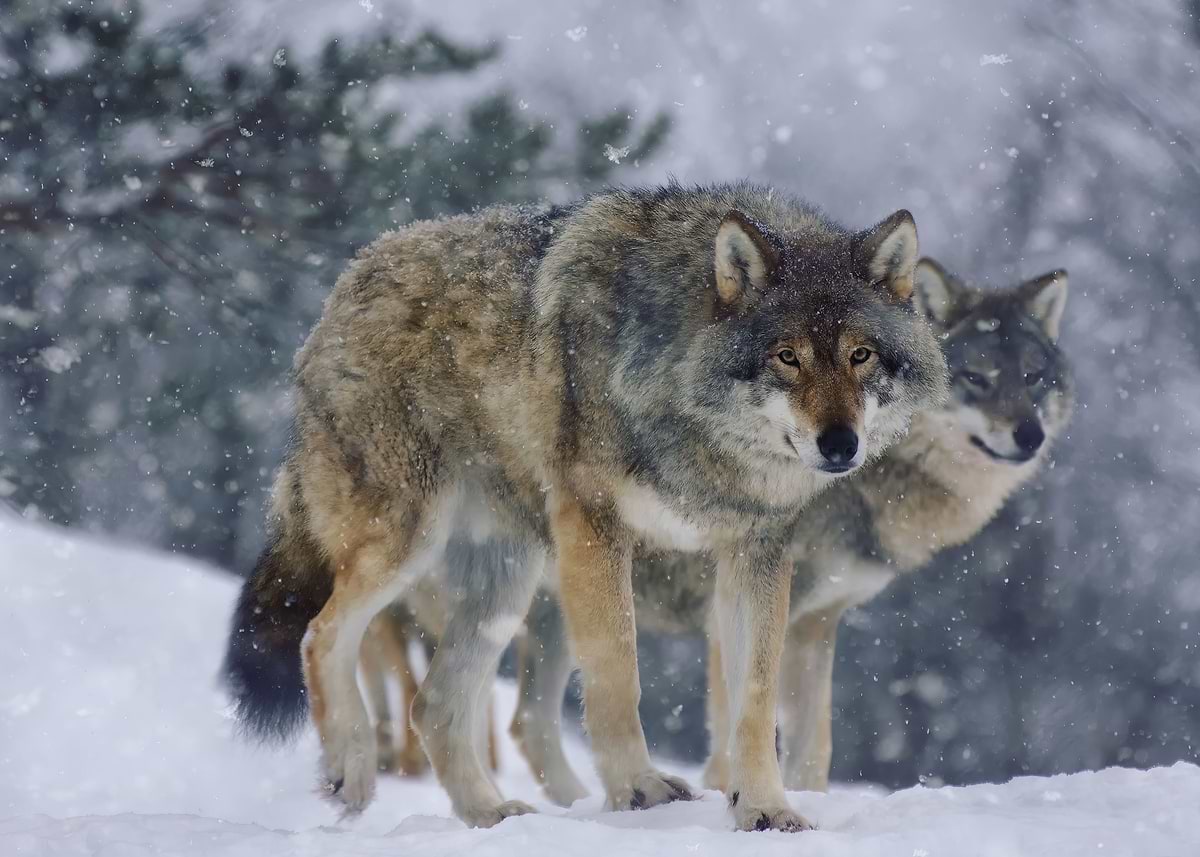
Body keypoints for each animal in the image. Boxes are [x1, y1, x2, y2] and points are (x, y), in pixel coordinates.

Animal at [222, 183, 947, 831]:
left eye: (861, 354)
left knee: (434, 704)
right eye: (787, 357)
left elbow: (754, 701)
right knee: (322, 633)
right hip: (407, 543)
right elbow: (617, 670)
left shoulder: (756, 552)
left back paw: (489, 814)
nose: (840, 445)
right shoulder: (594, 527)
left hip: (504, 584)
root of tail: (350, 275)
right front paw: (638, 788)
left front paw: (764, 807)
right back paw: (351, 767)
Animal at [475, 258, 1072, 804]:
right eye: (976, 379)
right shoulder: (739, 610)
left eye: (1034, 378)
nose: (1030, 435)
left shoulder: (817, 621)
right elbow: (738, 723)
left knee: (525, 722)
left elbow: (814, 744)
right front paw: (732, 794)